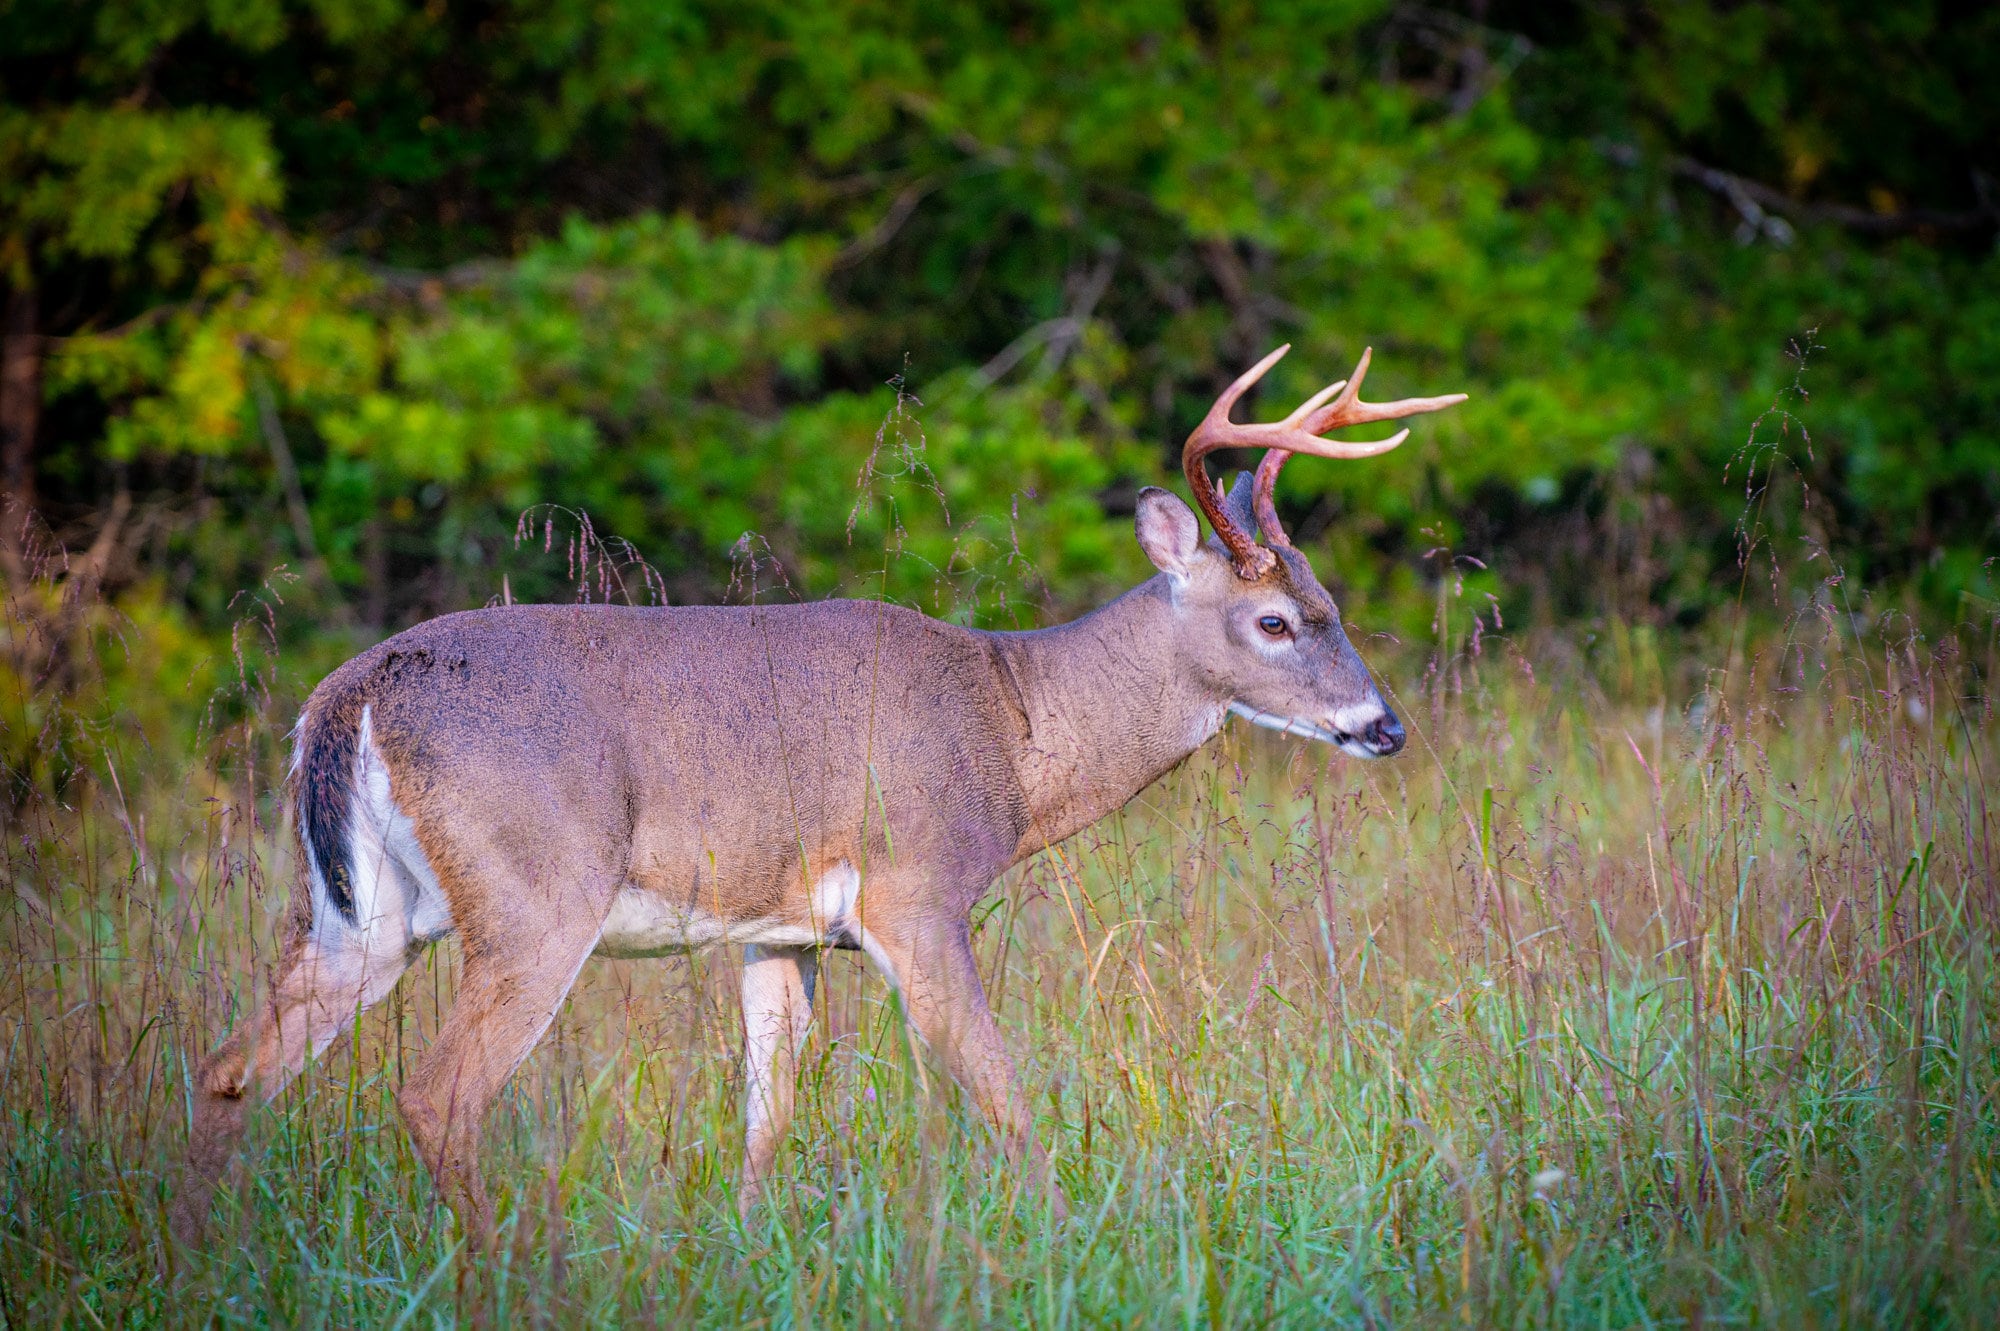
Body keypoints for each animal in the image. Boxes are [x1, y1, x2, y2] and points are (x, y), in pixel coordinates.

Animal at [168, 344, 1463, 1249]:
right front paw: (1068, 1238)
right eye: (1275, 620)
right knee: (435, 1092)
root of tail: (342, 698)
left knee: (233, 1067)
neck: (1014, 727)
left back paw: (203, 1262)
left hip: (364, 910)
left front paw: (747, 1248)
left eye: (1333, 604)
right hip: (536, 891)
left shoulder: (777, 927)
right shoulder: (914, 889)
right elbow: (1002, 1087)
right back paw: (497, 1269)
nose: (1383, 725)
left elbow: (767, 1110)